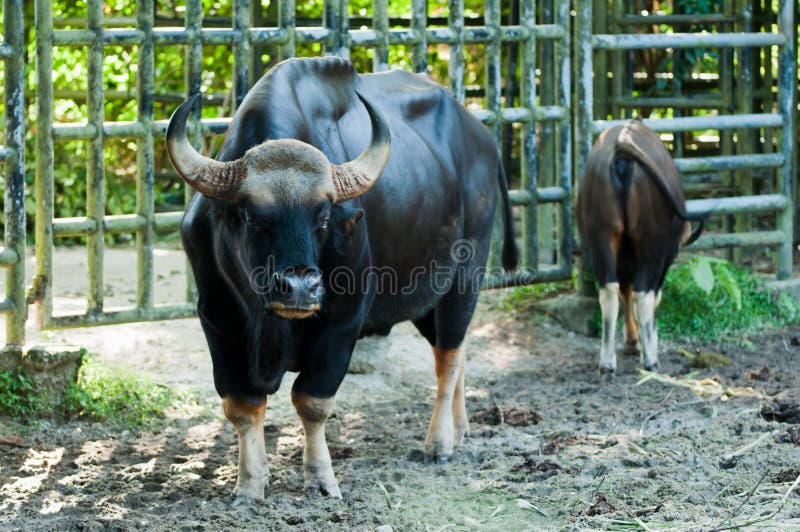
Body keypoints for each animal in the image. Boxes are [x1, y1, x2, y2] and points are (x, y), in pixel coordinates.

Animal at [166, 56, 518, 501]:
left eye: (322, 218)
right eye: (251, 217)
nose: (299, 287)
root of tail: (482, 139)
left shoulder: (343, 321)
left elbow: (312, 400)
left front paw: (319, 477)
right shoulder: (218, 320)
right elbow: (242, 405)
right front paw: (249, 484)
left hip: (464, 280)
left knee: (449, 356)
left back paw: (439, 443)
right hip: (427, 299)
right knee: (456, 349)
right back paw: (461, 426)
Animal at [576, 118, 704, 373]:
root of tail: (622, 144)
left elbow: (625, 291)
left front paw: (631, 342)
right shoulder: (662, 256)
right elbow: (652, 295)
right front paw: (647, 342)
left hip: (601, 237)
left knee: (609, 290)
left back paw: (607, 361)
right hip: (650, 242)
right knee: (644, 291)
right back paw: (650, 359)